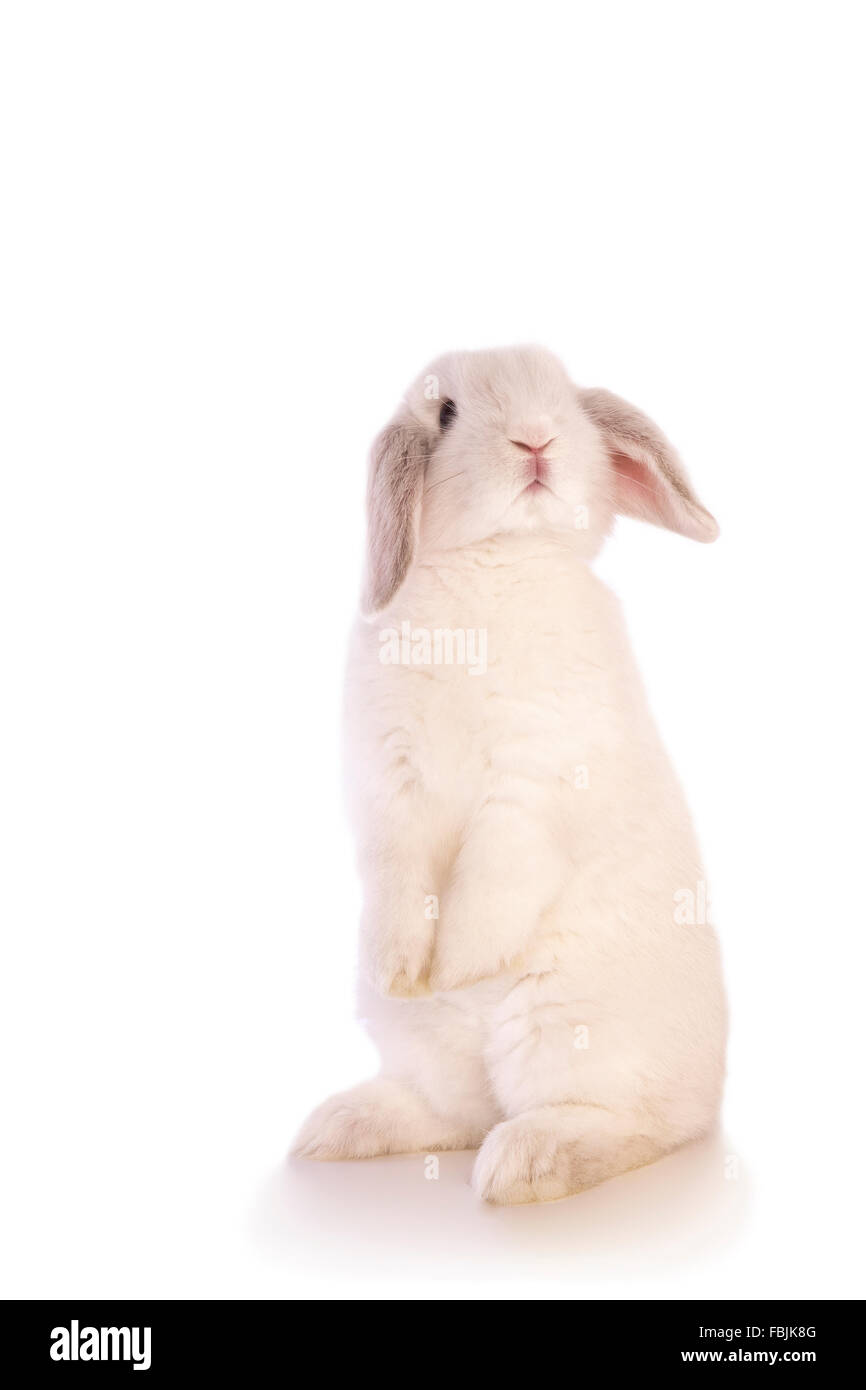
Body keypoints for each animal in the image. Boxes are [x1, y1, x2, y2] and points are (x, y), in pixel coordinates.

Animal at [293, 345, 727, 1204]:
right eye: (447, 412)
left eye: (562, 396)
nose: (535, 439)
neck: (494, 559)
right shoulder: (388, 783)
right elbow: (397, 869)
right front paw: (407, 969)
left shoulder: (534, 782)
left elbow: (497, 867)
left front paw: (461, 962)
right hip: (422, 1046)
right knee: (450, 1110)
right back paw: (340, 1126)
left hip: (571, 1030)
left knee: (627, 1125)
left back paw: (526, 1161)